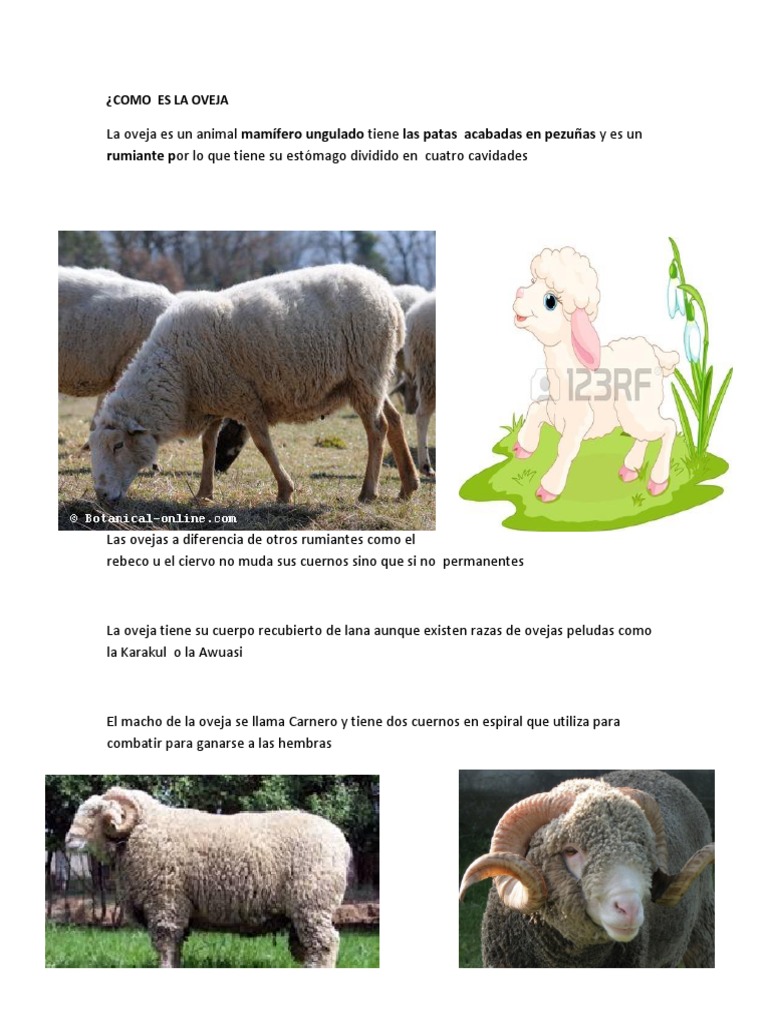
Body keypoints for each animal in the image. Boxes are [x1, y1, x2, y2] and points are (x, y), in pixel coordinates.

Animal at [65, 787, 352, 968]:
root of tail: (342, 842)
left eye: (97, 813)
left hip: (312, 902)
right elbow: (175, 949)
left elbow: (166, 945)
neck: (141, 831)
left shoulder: (165, 902)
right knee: (310, 947)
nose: (69, 840)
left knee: (325, 945)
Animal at [89, 263, 420, 506]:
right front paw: (204, 493)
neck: (178, 374)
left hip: (366, 373)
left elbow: (263, 445)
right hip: (368, 378)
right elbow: (208, 446)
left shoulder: (245, 398)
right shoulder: (216, 398)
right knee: (393, 418)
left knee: (377, 429)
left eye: (118, 445)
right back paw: (408, 485)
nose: (101, 495)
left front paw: (285, 491)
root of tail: (387, 294)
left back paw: (368, 492)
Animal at [512, 247, 680, 501]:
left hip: (639, 410)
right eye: (533, 282)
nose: (519, 292)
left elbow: (565, 448)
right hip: (634, 411)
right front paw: (523, 447)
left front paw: (548, 489)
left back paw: (658, 482)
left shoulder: (579, 421)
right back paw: (630, 469)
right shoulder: (554, 411)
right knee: (645, 435)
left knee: (669, 427)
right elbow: (534, 409)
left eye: (550, 301)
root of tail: (656, 353)